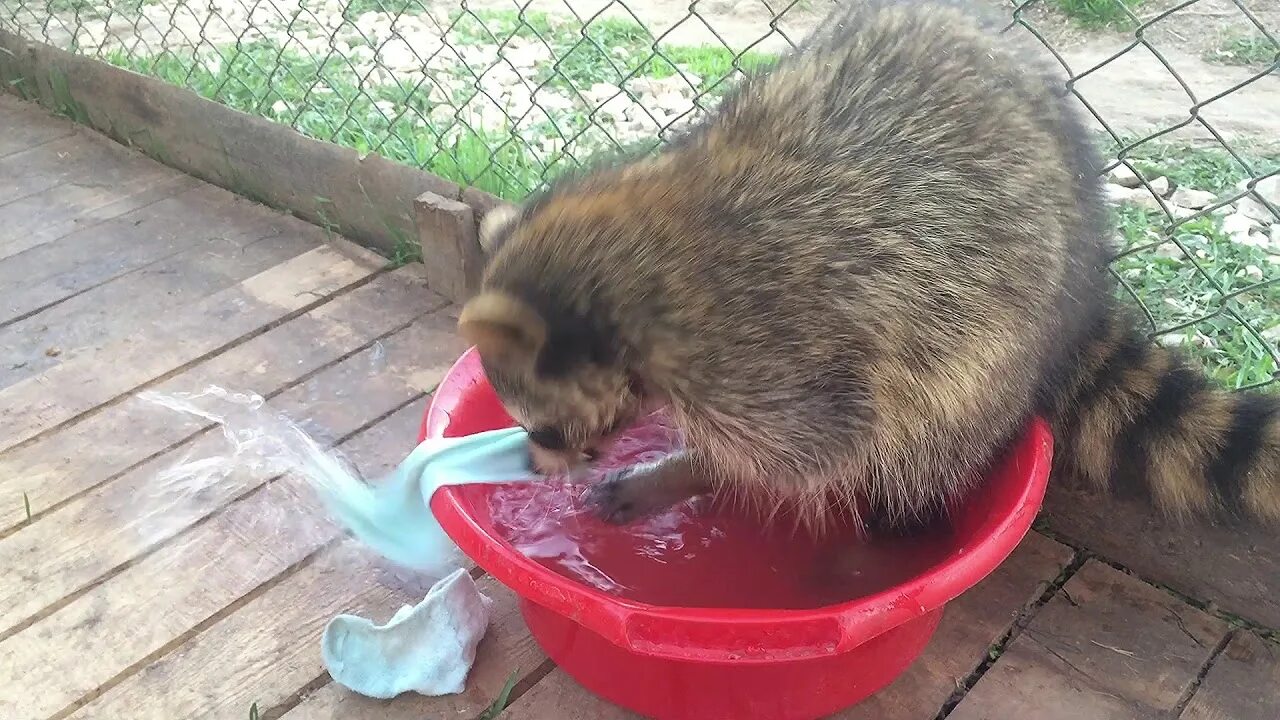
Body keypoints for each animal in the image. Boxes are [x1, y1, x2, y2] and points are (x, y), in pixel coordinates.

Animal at [455, 0, 1274, 527]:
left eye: (544, 428)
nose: (533, 465)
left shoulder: (766, 359)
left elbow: (812, 453)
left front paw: (685, 474)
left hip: (987, 359)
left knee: (930, 434)